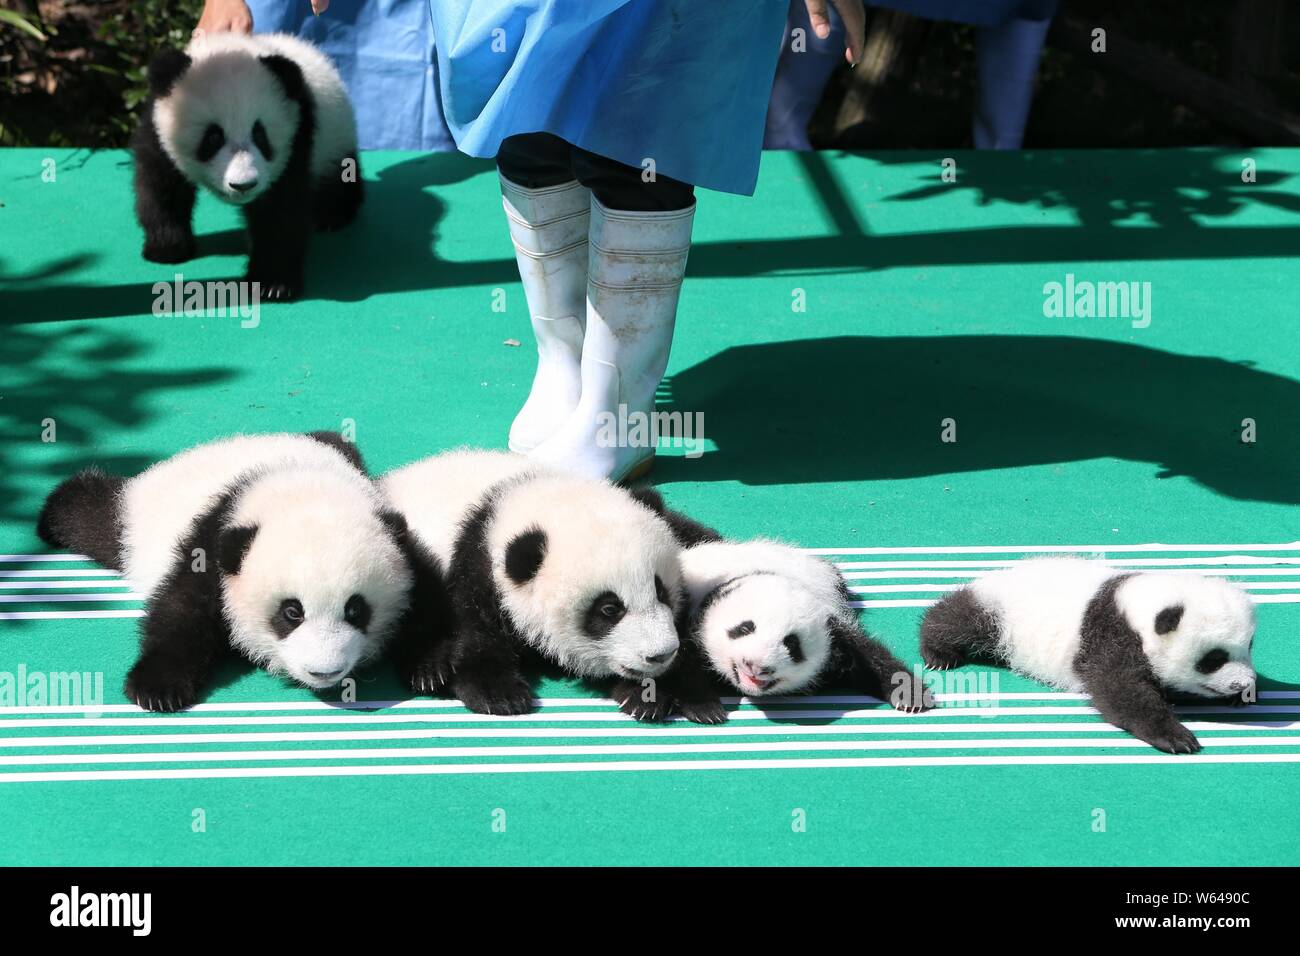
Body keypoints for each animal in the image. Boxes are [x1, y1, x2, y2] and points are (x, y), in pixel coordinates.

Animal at [37, 432, 445, 711]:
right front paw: (157, 687)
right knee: (91, 517)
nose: (324, 670)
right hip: (132, 522)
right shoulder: (212, 541)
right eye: (291, 612)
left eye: (356, 610)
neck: (297, 486)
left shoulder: (398, 536)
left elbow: (429, 597)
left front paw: (430, 668)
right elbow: (182, 609)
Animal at [132, 32, 362, 301]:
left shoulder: (297, 131)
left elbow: (281, 206)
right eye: (213, 137)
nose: (243, 185)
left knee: (340, 174)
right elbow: (160, 186)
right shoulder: (158, 127)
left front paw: (272, 284)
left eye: (260, 135)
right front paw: (166, 248)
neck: (231, 46)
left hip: (335, 137)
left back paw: (331, 215)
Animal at [378, 449, 724, 723]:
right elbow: (474, 628)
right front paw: (500, 694)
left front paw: (661, 696)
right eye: (609, 609)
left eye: (661, 591)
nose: (660, 655)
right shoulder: (476, 562)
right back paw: (429, 670)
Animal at [642, 502, 932, 711]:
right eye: (744, 628)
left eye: (792, 645)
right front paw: (699, 705)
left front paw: (911, 693)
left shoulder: (833, 626)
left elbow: (869, 655)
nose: (756, 666)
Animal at [920, 558, 1258, 753]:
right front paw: (1175, 736)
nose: (1242, 683)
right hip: (999, 611)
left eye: (1250, 646)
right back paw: (938, 652)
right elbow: (1120, 691)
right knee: (959, 618)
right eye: (1213, 659)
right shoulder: (1112, 637)